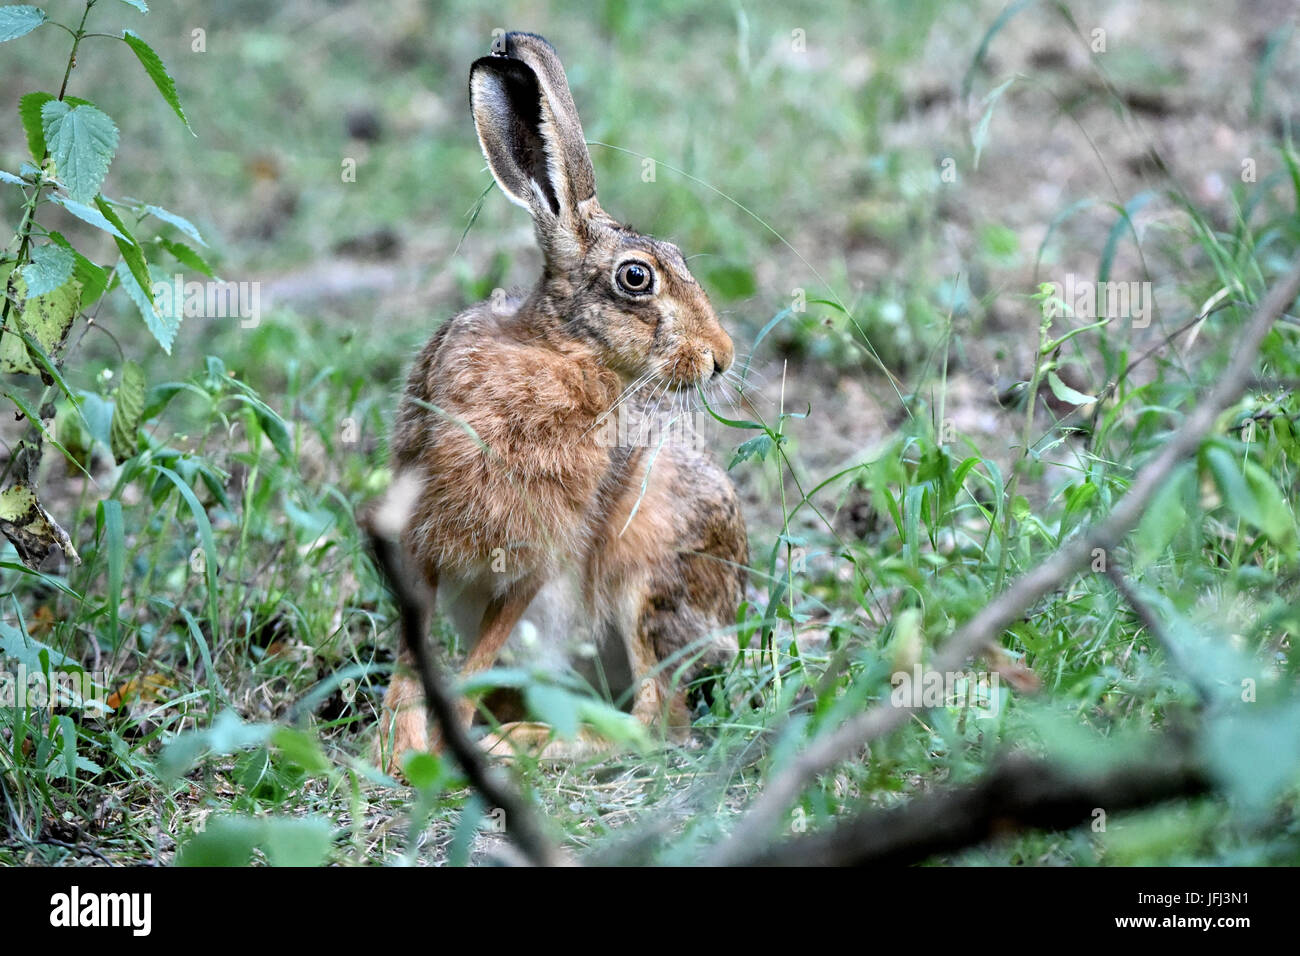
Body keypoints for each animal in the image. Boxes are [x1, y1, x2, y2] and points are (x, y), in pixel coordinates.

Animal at [375, 31, 748, 770]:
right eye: (637, 278)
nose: (720, 355)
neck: (561, 353)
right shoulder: (423, 543)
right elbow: (413, 652)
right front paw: (394, 750)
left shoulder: (535, 561)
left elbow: (477, 658)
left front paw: (443, 748)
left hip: (647, 574)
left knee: (656, 721)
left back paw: (521, 741)